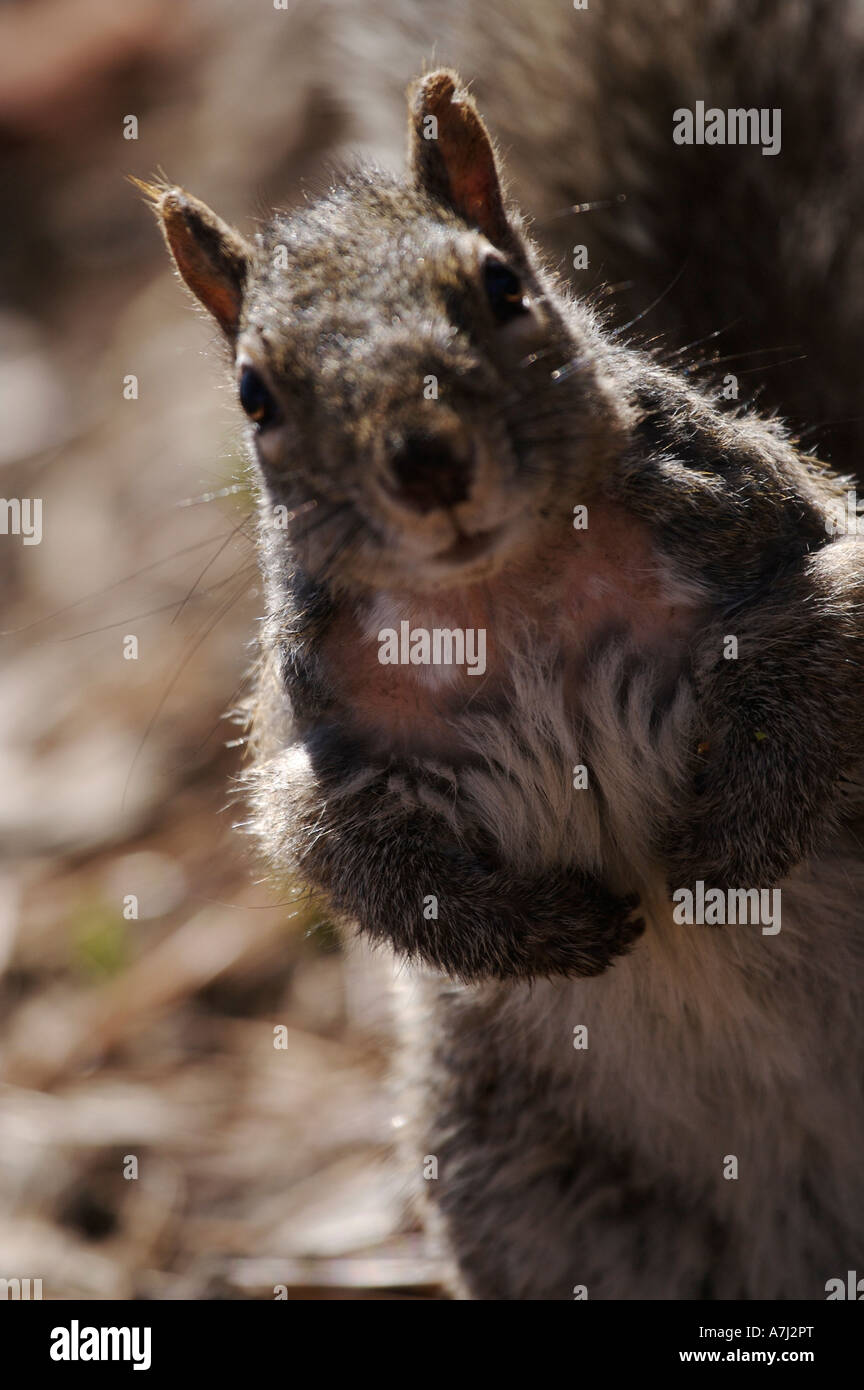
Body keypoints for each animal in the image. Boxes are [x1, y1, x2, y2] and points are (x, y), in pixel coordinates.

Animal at [143, 0, 864, 1299]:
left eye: (500, 287)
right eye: (256, 395)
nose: (426, 457)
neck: (504, 589)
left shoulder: (797, 552)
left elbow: (825, 675)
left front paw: (719, 857)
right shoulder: (322, 749)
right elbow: (344, 856)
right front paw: (536, 930)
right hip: (529, 1187)